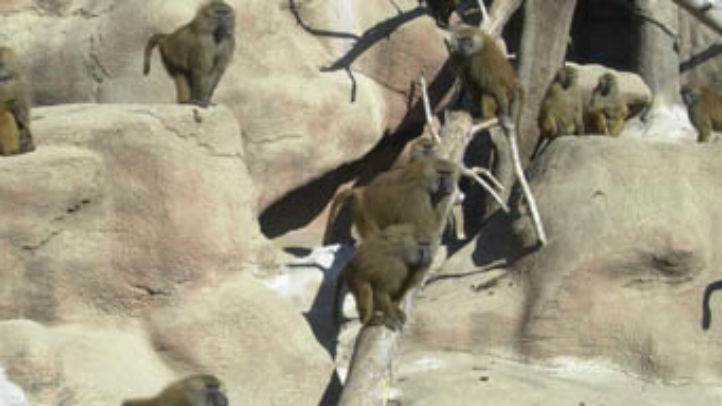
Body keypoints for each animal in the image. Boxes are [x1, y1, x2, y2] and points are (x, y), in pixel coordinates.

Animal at [323, 156, 460, 245]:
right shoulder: (417, 197)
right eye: (442, 173)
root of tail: (361, 192)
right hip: (363, 212)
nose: (450, 186)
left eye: (450, 173)